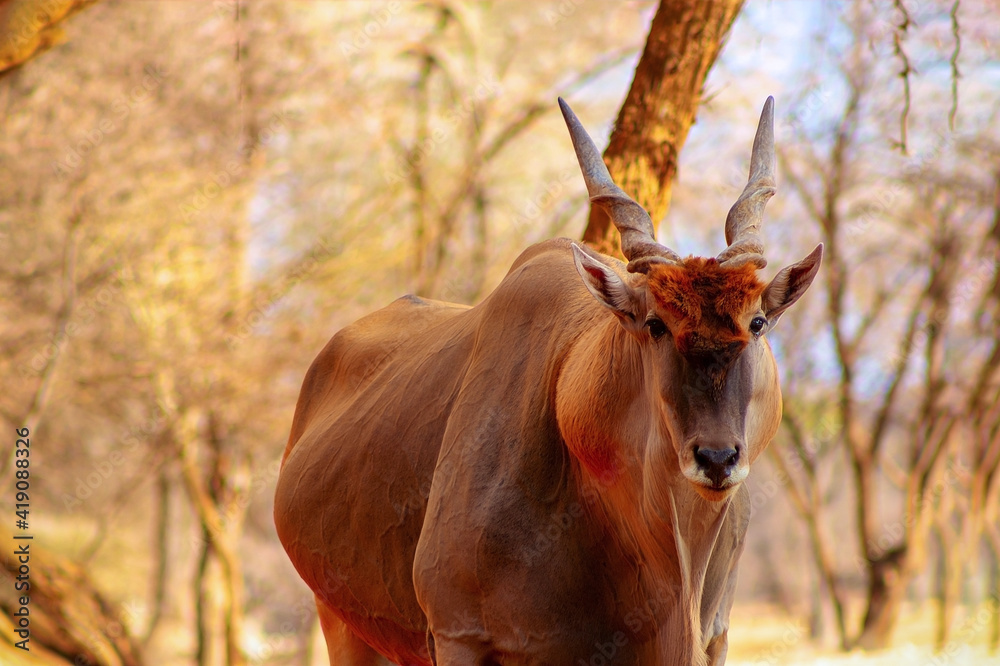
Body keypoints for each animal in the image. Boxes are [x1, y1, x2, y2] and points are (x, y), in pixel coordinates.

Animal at [274, 96, 822, 665]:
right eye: (654, 324)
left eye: (757, 322)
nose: (716, 458)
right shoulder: (457, 634)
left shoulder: (712, 639)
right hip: (342, 625)